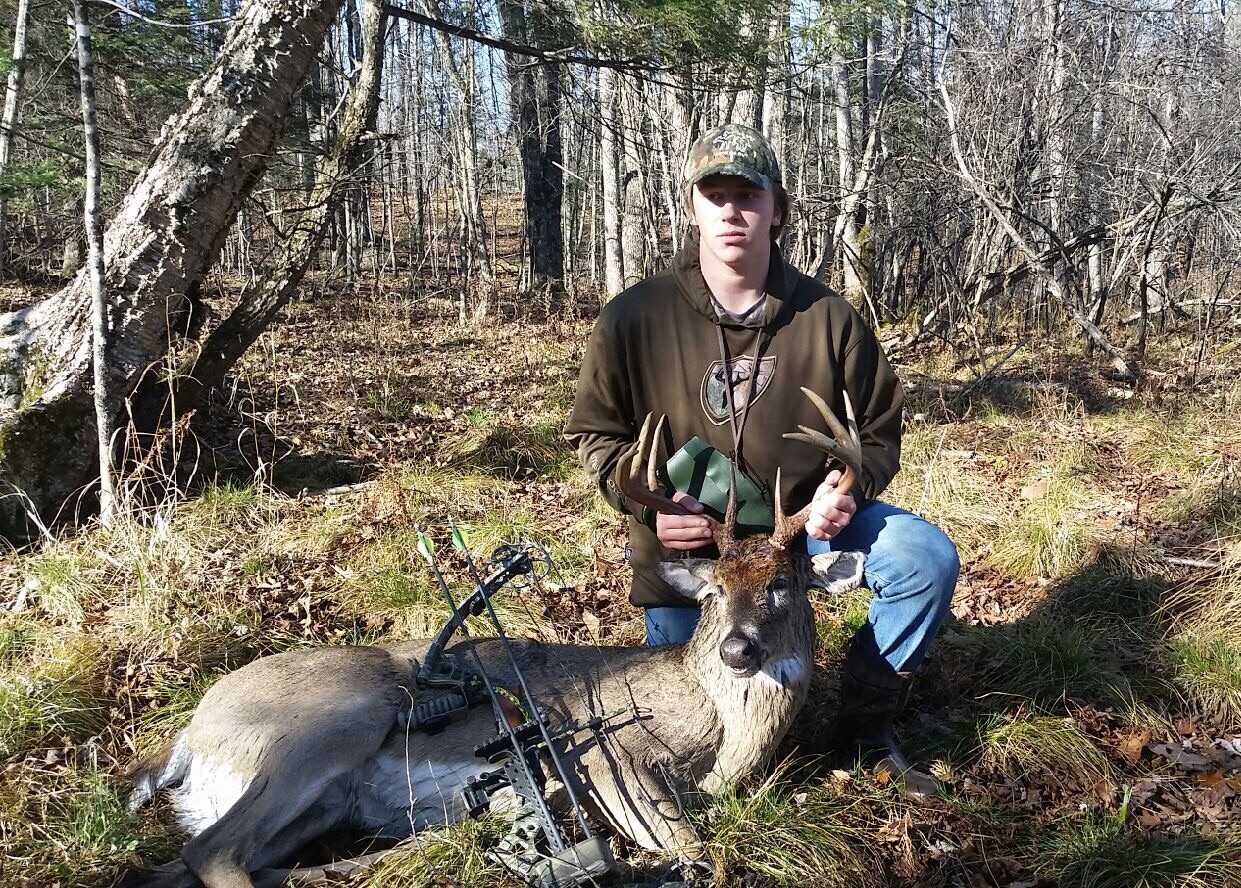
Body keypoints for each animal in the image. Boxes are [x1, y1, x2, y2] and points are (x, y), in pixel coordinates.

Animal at [126, 388, 865, 888]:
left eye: (784, 584)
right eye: (712, 592)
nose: (737, 649)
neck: (727, 740)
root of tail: (187, 735)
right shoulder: (615, 758)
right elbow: (696, 848)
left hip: (317, 801)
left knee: (186, 864)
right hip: (323, 728)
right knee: (213, 851)